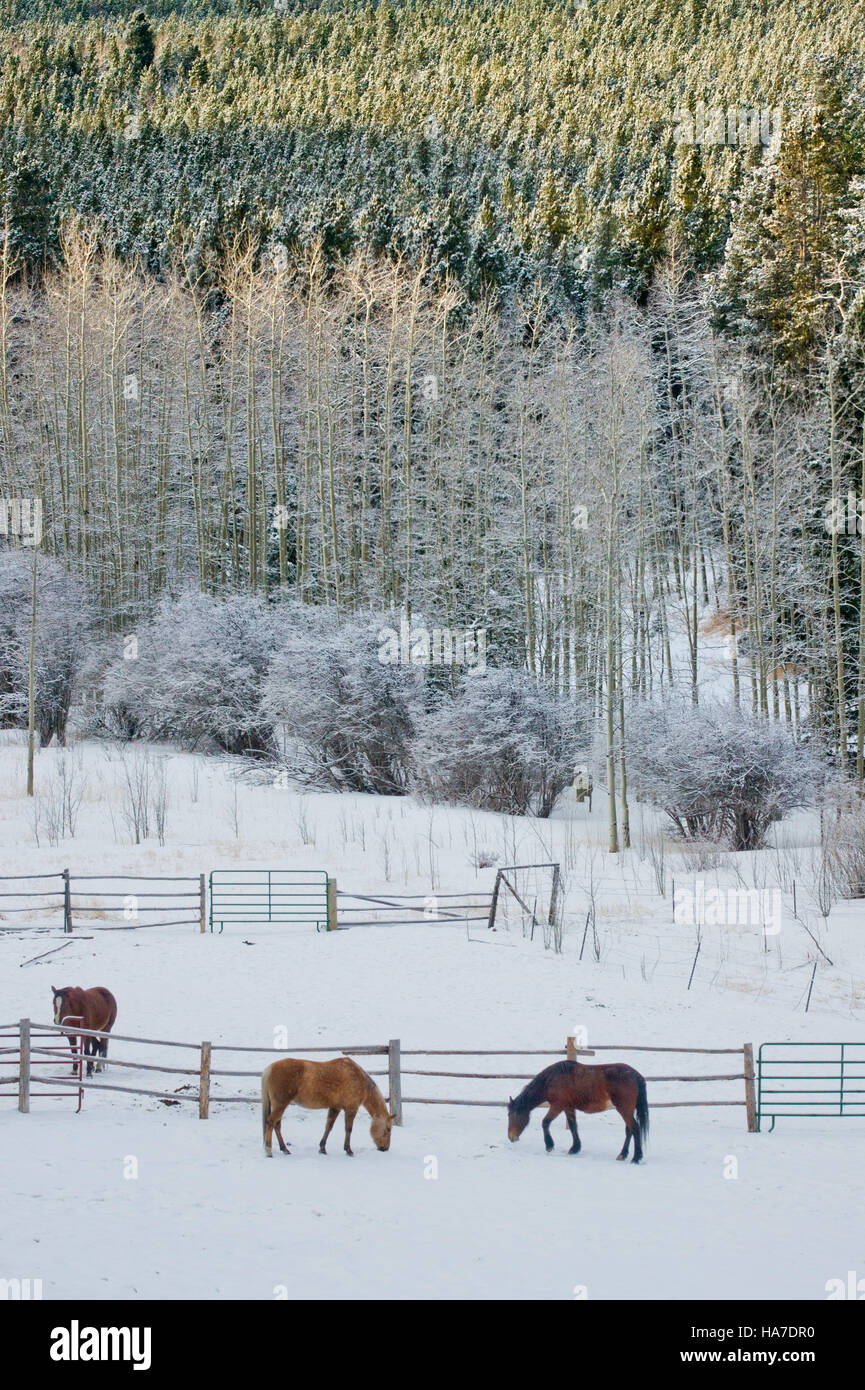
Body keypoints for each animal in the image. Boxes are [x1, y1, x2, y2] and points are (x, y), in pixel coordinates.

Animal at [261, 1057, 395, 1157]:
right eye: (388, 1129)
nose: (385, 1148)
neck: (358, 1078)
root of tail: (270, 1068)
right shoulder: (351, 1108)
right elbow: (348, 1129)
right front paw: (348, 1150)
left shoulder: (335, 1108)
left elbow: (328, 1127)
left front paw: (322, 1148)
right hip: (280, 1105)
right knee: (271, 1122)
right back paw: (268, 1151)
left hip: (280, 1106)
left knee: (277, 1125)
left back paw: (284, 1149)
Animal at [507, 1059, 649, 1163]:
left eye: (512, 1115)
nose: (511, 1137)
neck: (552, 1079)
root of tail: (636, 1075)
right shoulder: (568, 1107)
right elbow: (573, 1126)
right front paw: (575, 1148)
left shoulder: (557, 1106)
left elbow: (545, 1122)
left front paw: (549, 1145)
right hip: (627, 1110)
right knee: (629, 1130)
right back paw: (622, 1155)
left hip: (624, 1109)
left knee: (635, 1129)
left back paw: (636, 1158)